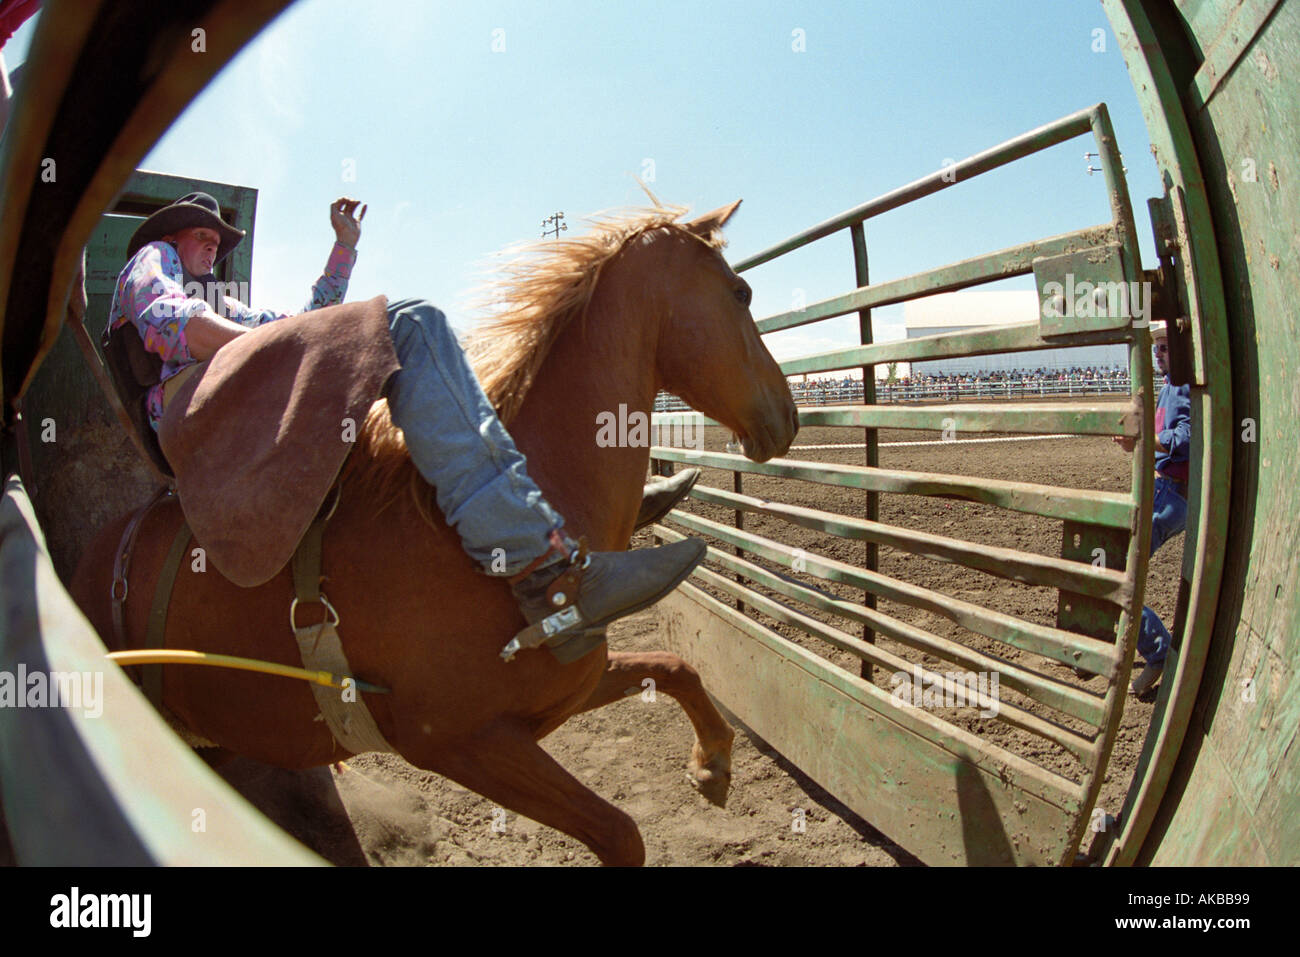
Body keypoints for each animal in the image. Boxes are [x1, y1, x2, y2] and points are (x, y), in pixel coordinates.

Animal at [70, 200, 798, 866]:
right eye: (741, 292)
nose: (789, 416)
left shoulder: (565, 687)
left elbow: (676, 667)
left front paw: (713, 766)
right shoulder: (460, 742)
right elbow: (621, 833)